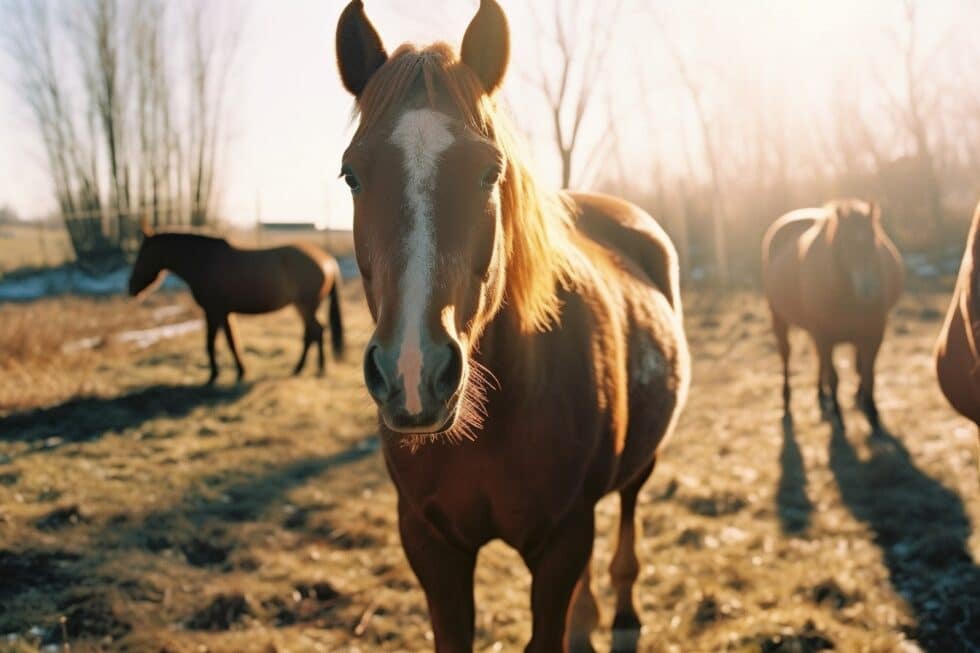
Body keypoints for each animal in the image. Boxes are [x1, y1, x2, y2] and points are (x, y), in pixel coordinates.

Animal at [128, 226, 344, 384]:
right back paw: (304, 368)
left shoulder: (213, 311)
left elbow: (212, 343)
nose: (131, 288)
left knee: (316, 331)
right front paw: (241, 371)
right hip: (303, 306)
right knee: (313, 333)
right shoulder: (224, 313)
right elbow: (231, 341)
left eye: (142, 255)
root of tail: (328, 260)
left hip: (307, 305)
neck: (204, 262)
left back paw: (313, 368)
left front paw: (214, 376)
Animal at [334, 2, 690, 651]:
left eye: (486, 172)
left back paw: (622, 616)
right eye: (352, 175)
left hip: (641, 464)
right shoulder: (431, 546)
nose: (412, 373)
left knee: (627, 518)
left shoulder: (561, 543)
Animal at [763, 199, 904, 430]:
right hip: (779, 318)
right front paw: (838, 413)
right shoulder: (824, 337)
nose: (869, 289)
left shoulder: (873, 334)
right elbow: (835, 377)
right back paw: (787, 398)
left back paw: (824, 392)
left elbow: (867, 371)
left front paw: (871, 411)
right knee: (786, 355)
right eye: (845, 244)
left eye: (875, 241)